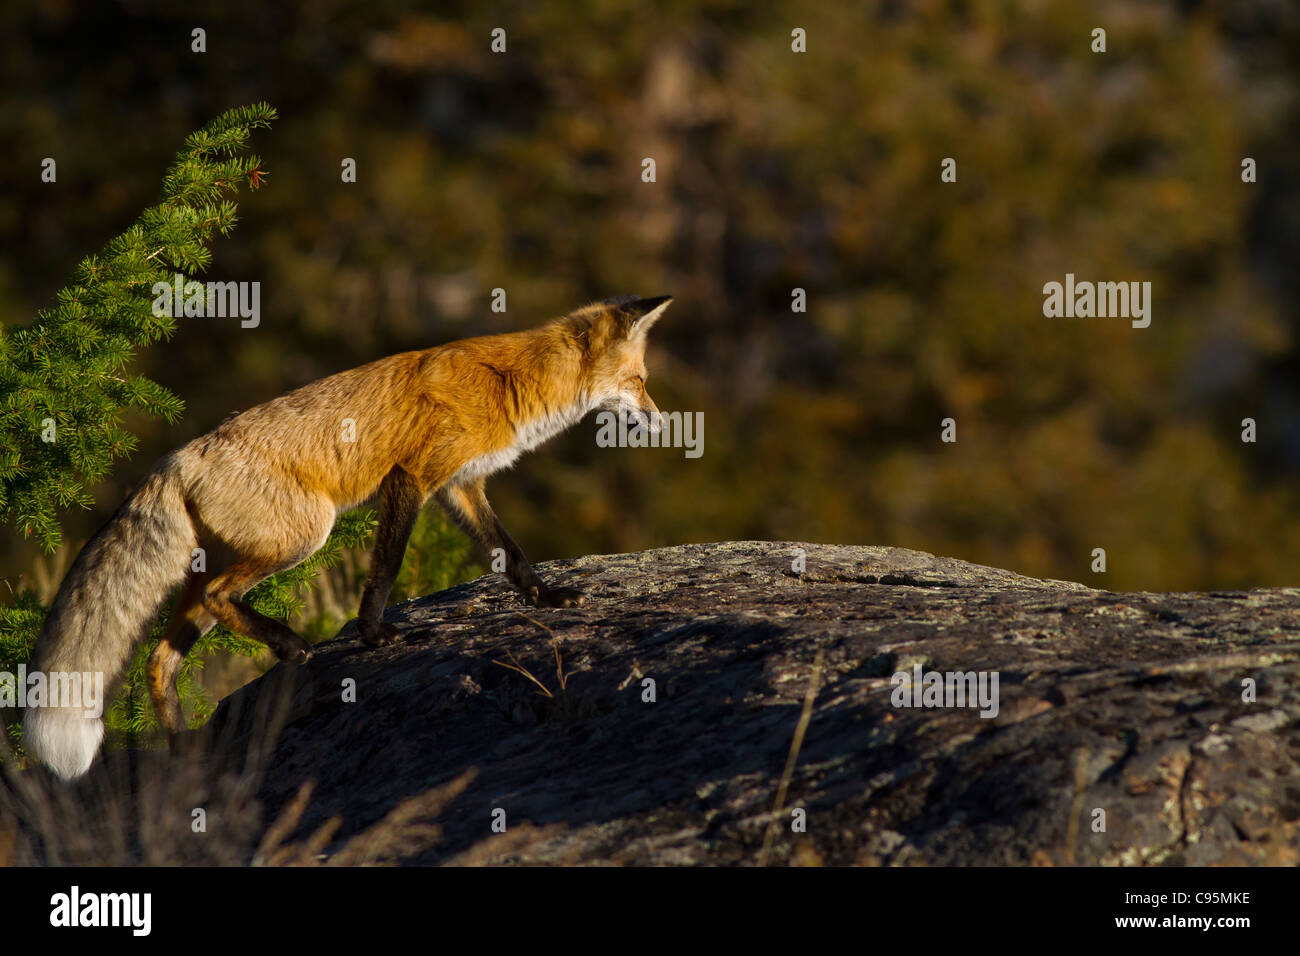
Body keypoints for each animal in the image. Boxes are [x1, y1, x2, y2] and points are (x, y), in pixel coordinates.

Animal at [22, 294, 673, 780]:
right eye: (640, 381)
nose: (664, 422)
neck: (512, 379)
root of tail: (178, 457)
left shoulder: (461, 486)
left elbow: (509, 552)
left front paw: (547, 597)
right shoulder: (413, 478)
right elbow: (386, 567)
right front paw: (374, 634)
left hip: (226, 566)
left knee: (159, 662)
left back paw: (187, 750)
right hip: (304, 535)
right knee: (216, 600)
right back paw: (289, 646)